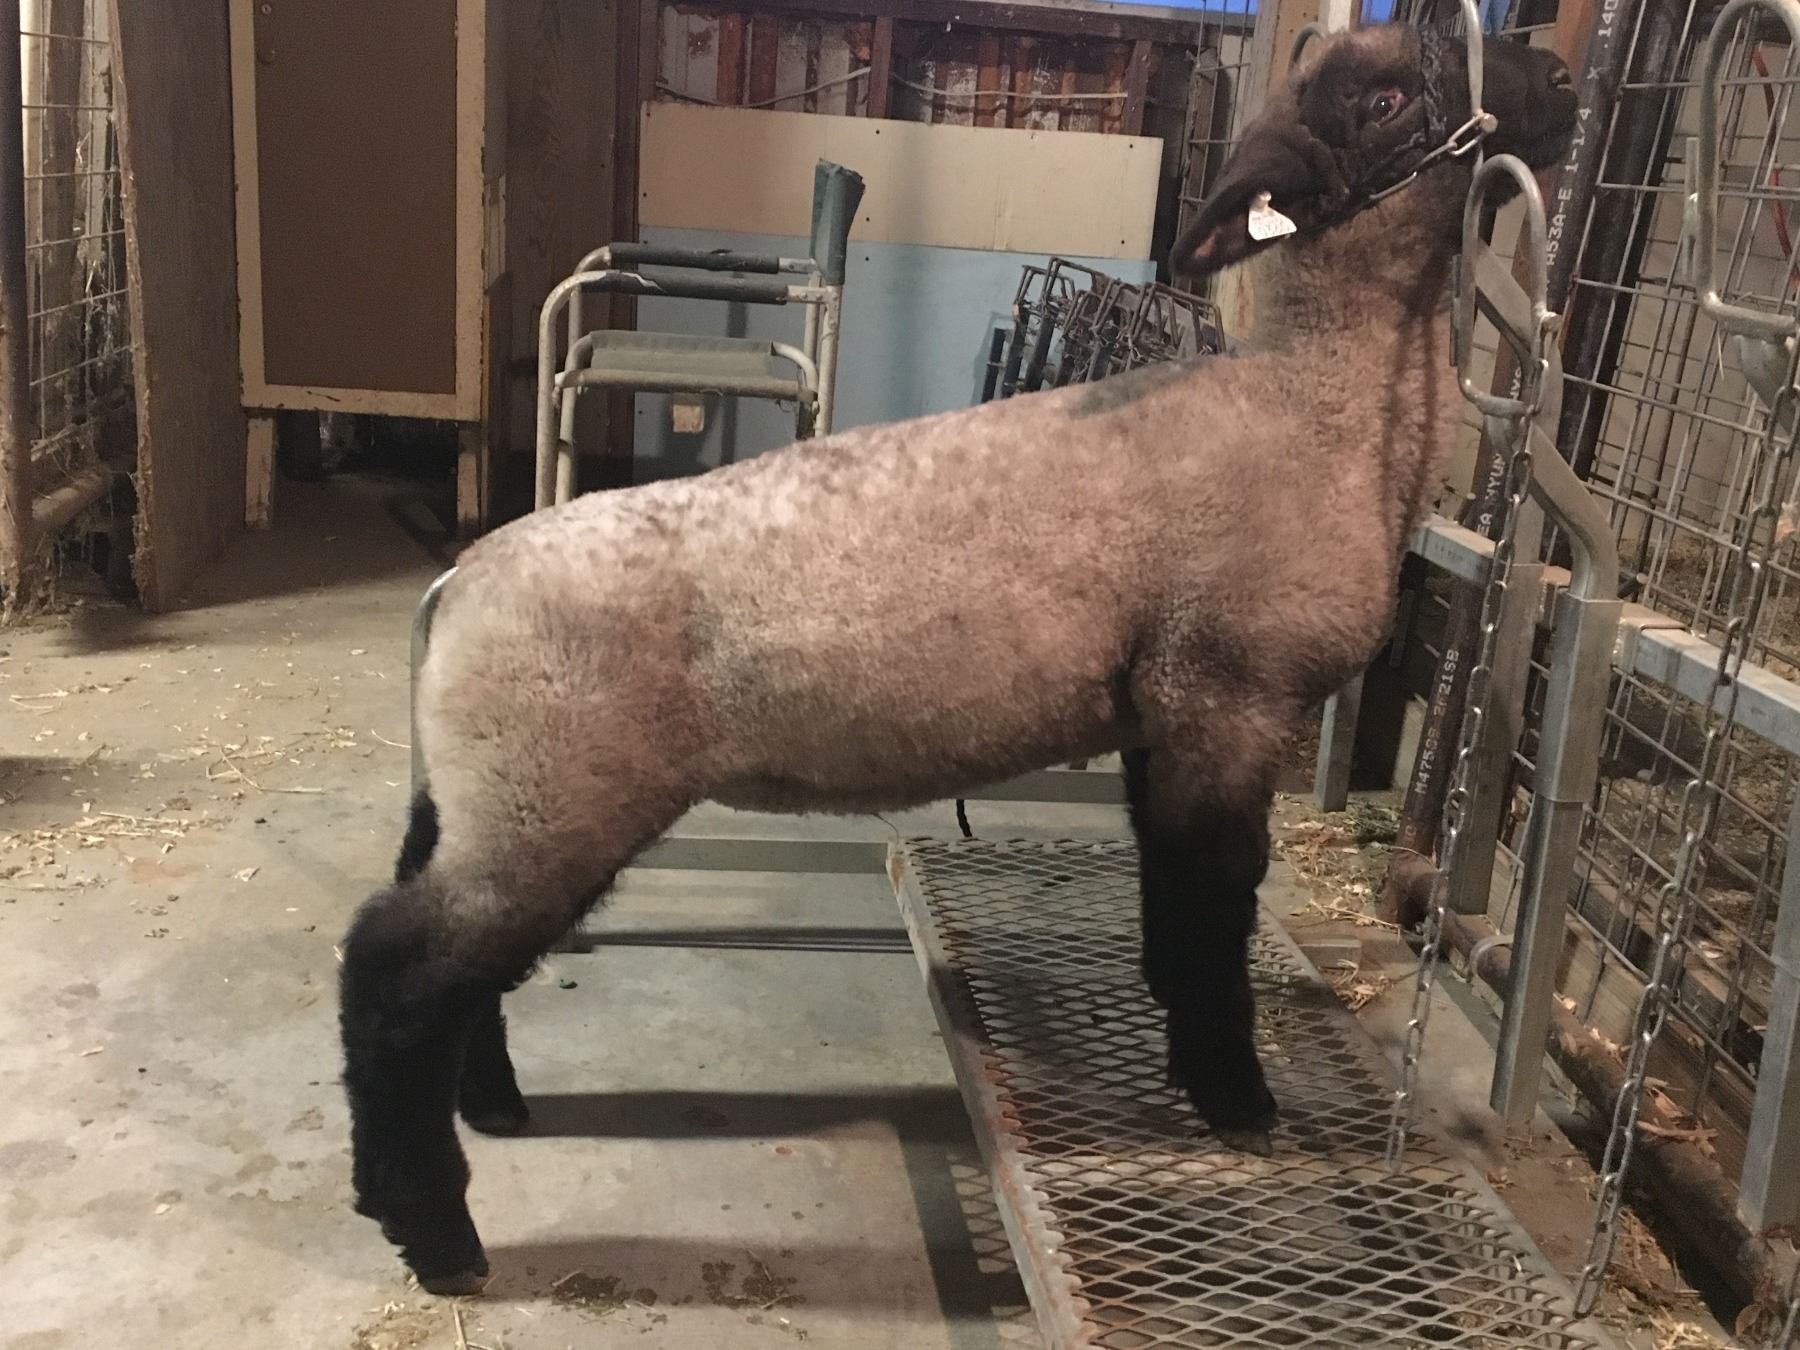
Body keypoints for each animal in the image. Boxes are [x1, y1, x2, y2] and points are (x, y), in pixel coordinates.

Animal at [337, 22, 1578, 1294]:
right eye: (1385, 100)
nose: (1561, 80)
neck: (1308, 405)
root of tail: (458, 586)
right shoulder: (1230, 699)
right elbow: (1213, 904)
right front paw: (1235, 1100)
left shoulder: (1164, 713)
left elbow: (1169, 900)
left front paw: (1185, 1052)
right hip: (552, 794)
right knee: (392, 975)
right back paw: (436, 1233)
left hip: (484, 795)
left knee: (435, 946)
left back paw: (492, 1108)